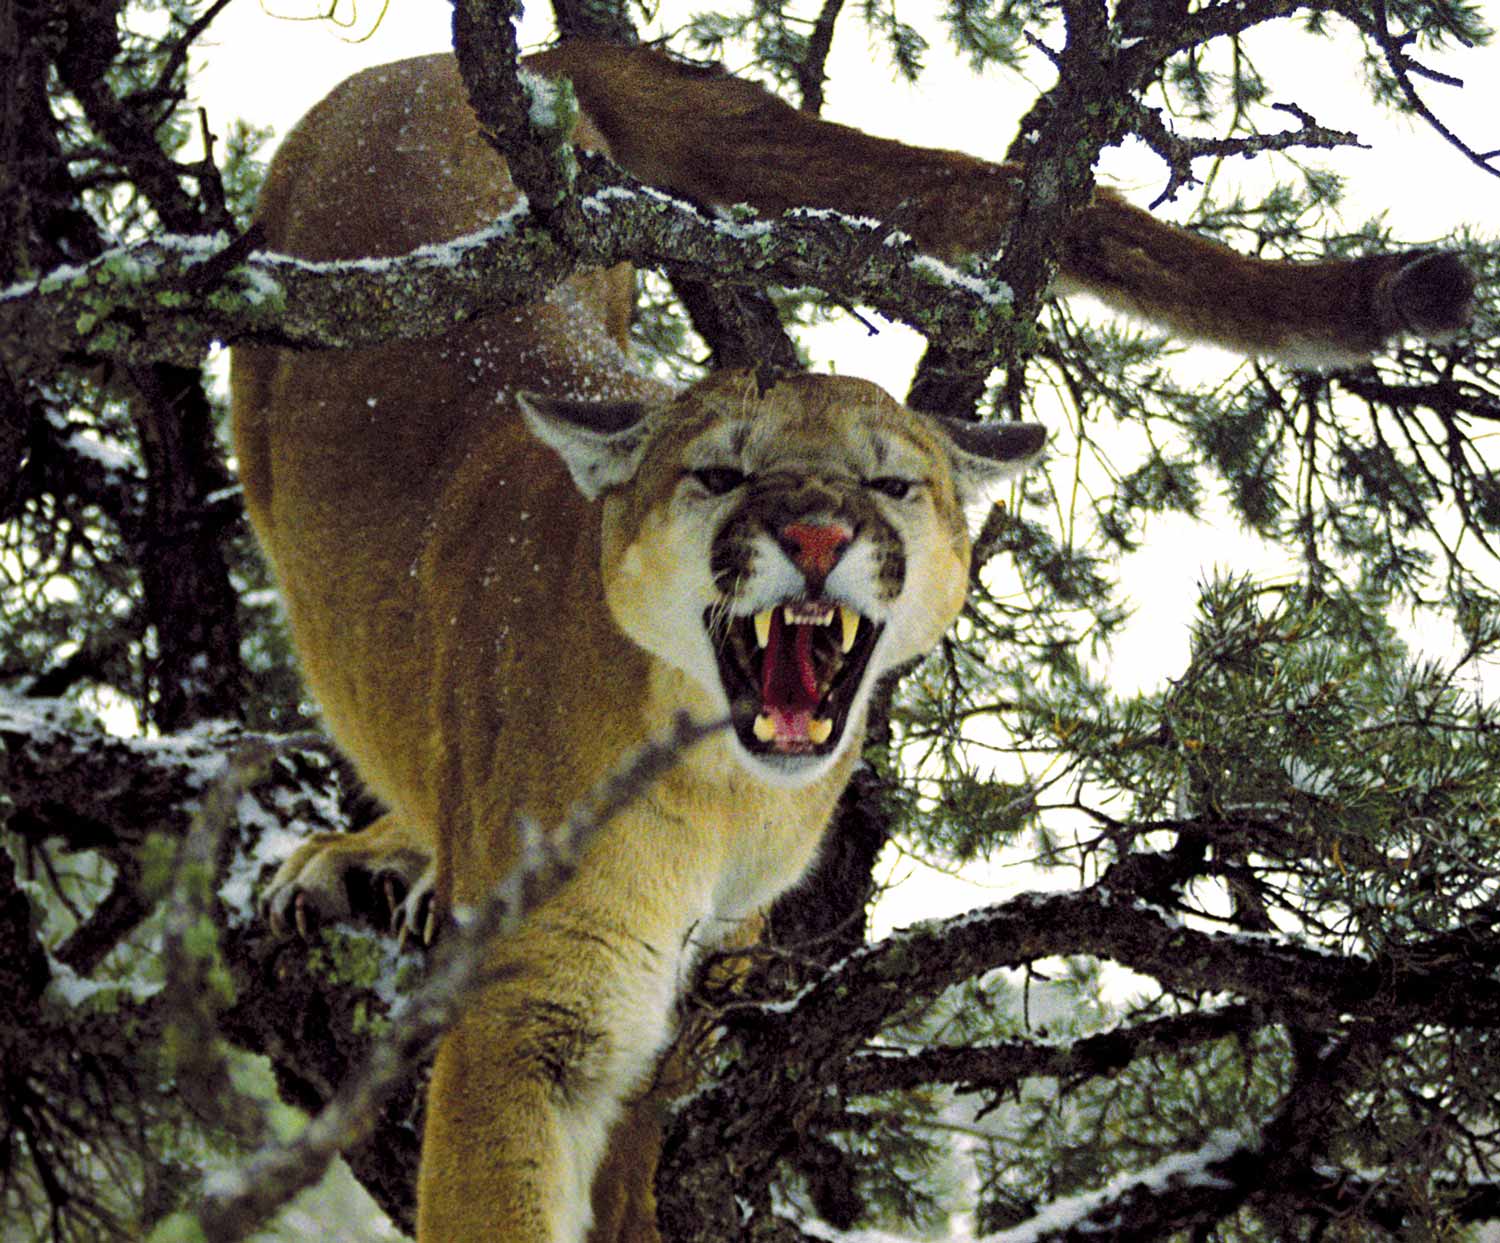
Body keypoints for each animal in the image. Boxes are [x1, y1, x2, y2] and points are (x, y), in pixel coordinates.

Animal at [229, 38, 1473, 1243]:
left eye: (890, 483)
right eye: (721, 473)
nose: (819, 534)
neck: (724, 793)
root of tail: (440, 68)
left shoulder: (691, 988)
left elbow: (637, 1166)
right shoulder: (529, 1010)